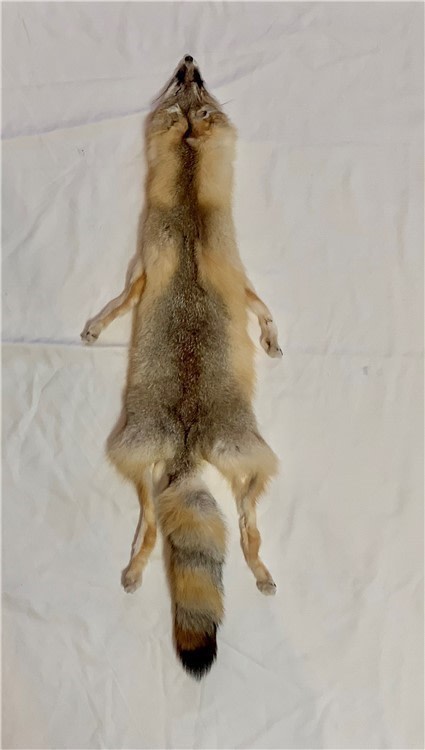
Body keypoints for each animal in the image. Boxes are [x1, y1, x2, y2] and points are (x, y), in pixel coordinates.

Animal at [81, 55, 283, 679]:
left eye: (199, 89)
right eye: (184, 87)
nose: (190, 59)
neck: (191, 201)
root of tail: (191, 443)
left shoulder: (155, 267)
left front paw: (272, 339)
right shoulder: (185, 271)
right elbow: (119, 303)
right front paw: (95, 327)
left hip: (213, 461)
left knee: (186, 522)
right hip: (238, 460)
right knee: (225, 524)